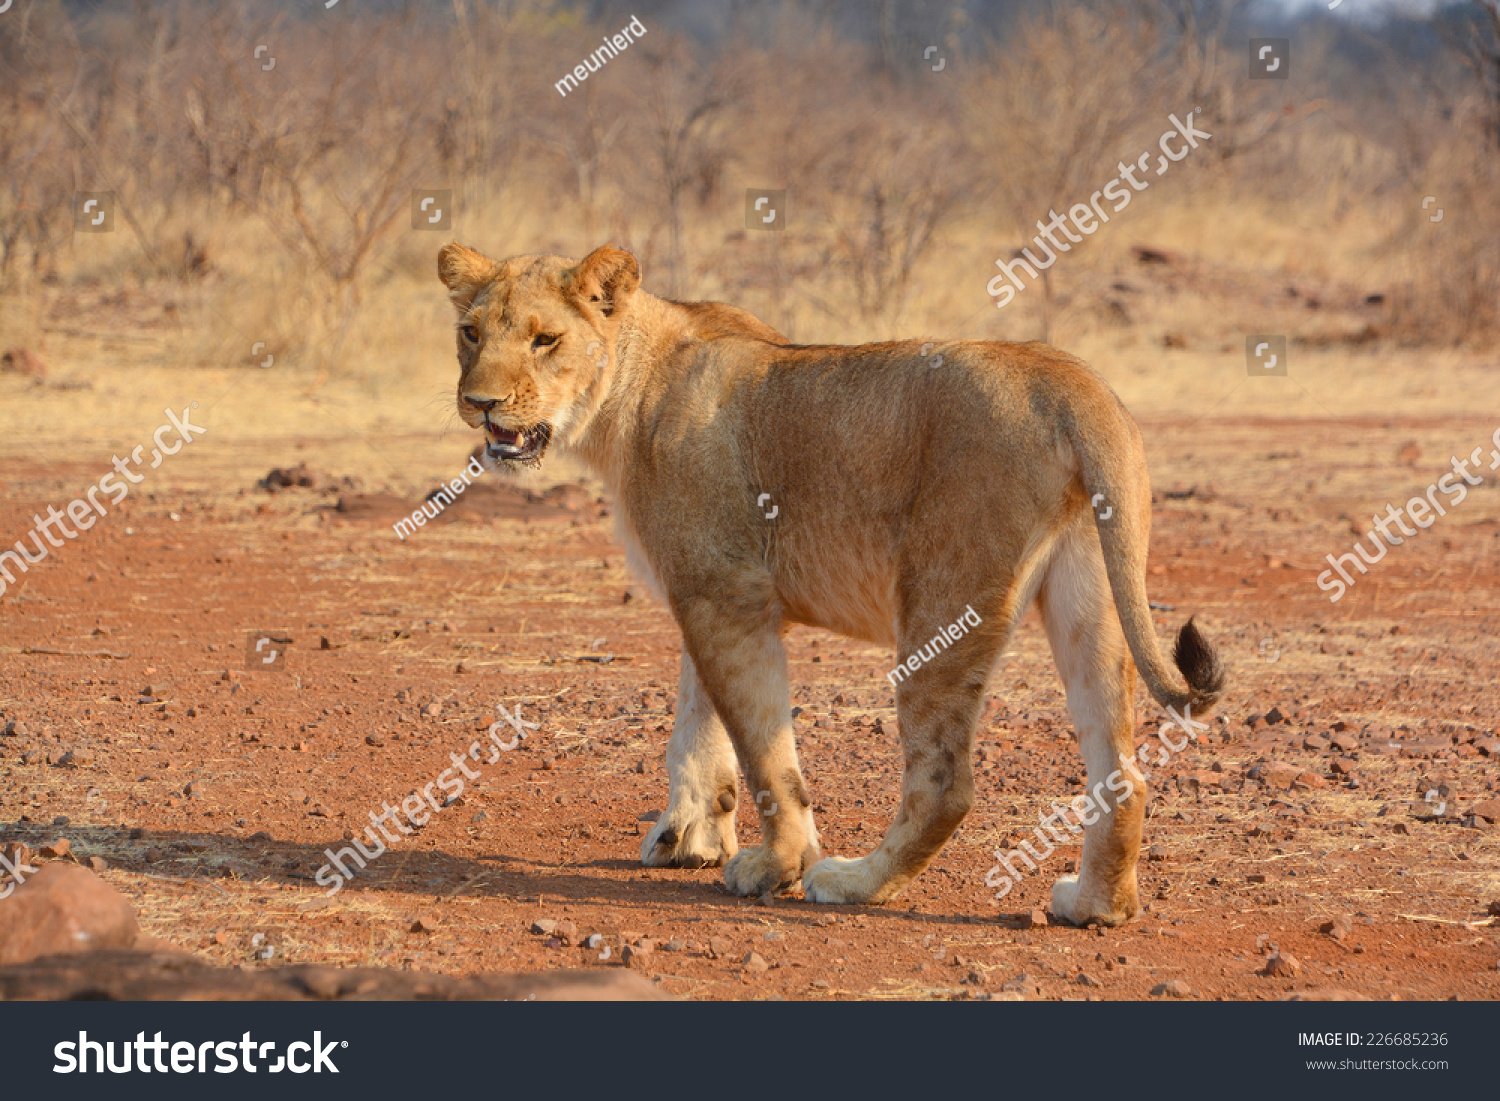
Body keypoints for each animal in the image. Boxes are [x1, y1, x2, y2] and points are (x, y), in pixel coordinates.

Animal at [437, 241, 1225, 926]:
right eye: (470, 333)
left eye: (545, 340)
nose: (479, 403)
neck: (627, 392)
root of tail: (1069, 380)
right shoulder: (705, 589)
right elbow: (696, 723)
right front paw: (689, 834)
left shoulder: (728, 594)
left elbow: (763, 752)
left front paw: (775, 864)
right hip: (1089, 592)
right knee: (1122, 772)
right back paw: (1094, 905)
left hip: (940, 601)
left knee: (944, 784)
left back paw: (852, 882)